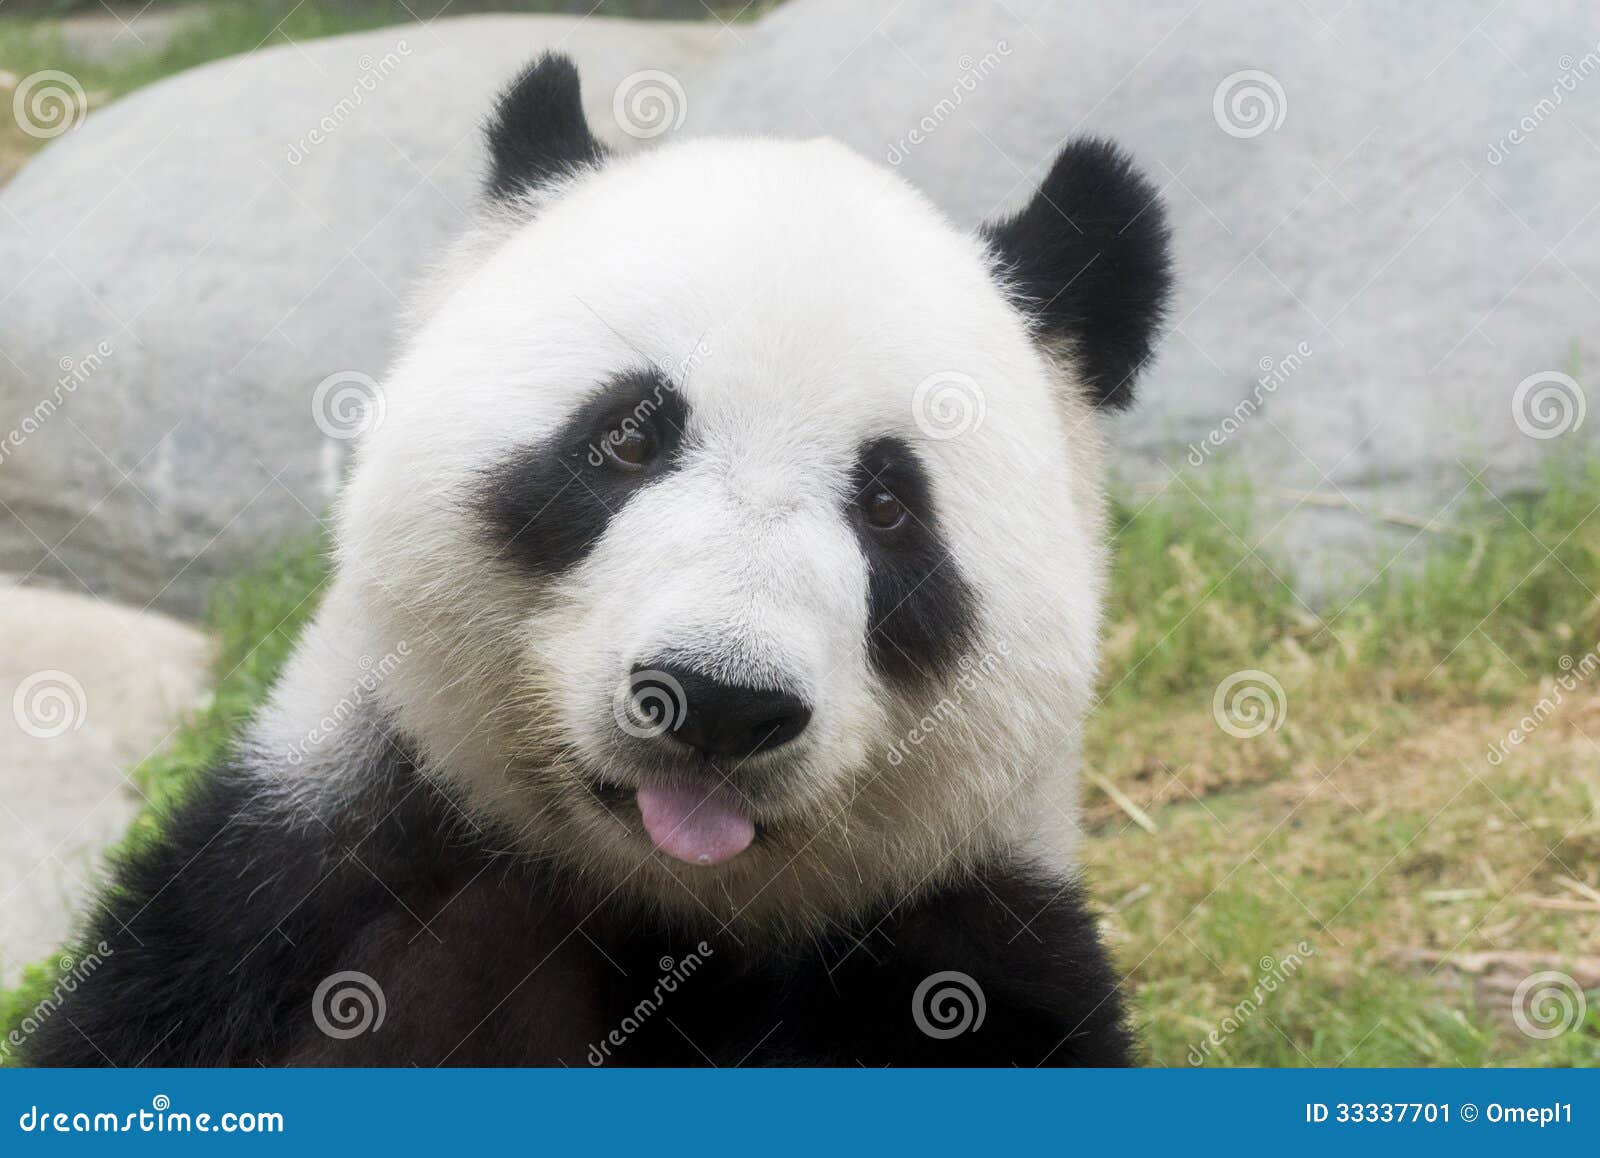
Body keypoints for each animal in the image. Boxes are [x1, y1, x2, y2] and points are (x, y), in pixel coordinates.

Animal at [27, 54, 1170, 1068]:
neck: (655, 903)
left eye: (889, 506)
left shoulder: (964, 952)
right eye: (627, 438)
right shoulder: (287, 894)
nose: (717, 700)